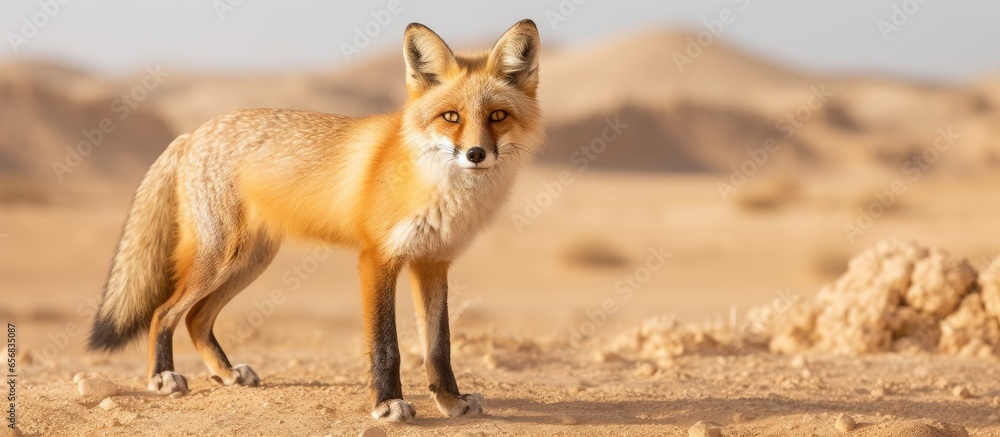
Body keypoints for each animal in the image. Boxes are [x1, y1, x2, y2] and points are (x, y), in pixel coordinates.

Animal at [87, 20, 543, 422]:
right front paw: (387, 405)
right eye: (451, 117)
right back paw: (162, 376)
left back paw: (226, 373)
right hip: (220, 258)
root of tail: (192, 133)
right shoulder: (377, 259)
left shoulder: (432, 262)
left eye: (497, 116)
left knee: (197, 318)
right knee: (163, 312)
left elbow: (439, 347)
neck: (438, 190)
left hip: (249, 262)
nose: (475, 154)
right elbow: (387, 346)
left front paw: (450, 401)